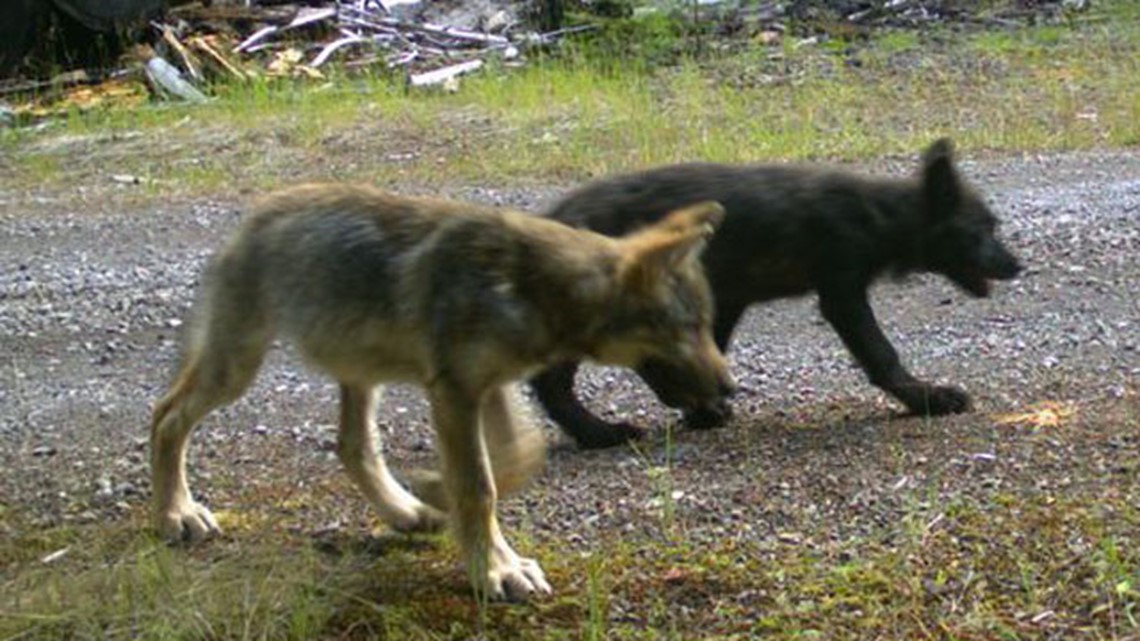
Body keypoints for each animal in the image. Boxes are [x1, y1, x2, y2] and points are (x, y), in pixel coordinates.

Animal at [149, 183, 731, 600]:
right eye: (692, 326)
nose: (731, 387)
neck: (528, 286)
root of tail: (253, 216)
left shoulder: (486, 388)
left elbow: (517, 459)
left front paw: (435, 490)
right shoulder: (453, 392)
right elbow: (481, 487)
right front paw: (495, 569)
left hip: (362, 373)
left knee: (354, 447)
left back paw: (406, 512)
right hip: (237, 368)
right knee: (165, 416)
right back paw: (178, 515)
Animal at [530, 139, 1023, 449]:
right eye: (983, 230)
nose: (1019, 266)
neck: (879, 213)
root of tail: (552, 216)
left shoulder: (729, 298)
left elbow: (709, 351)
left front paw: (703, 409)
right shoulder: (841, 291)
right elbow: (882, 355)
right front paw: (929, 399)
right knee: (552, 382)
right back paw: (599, 435)